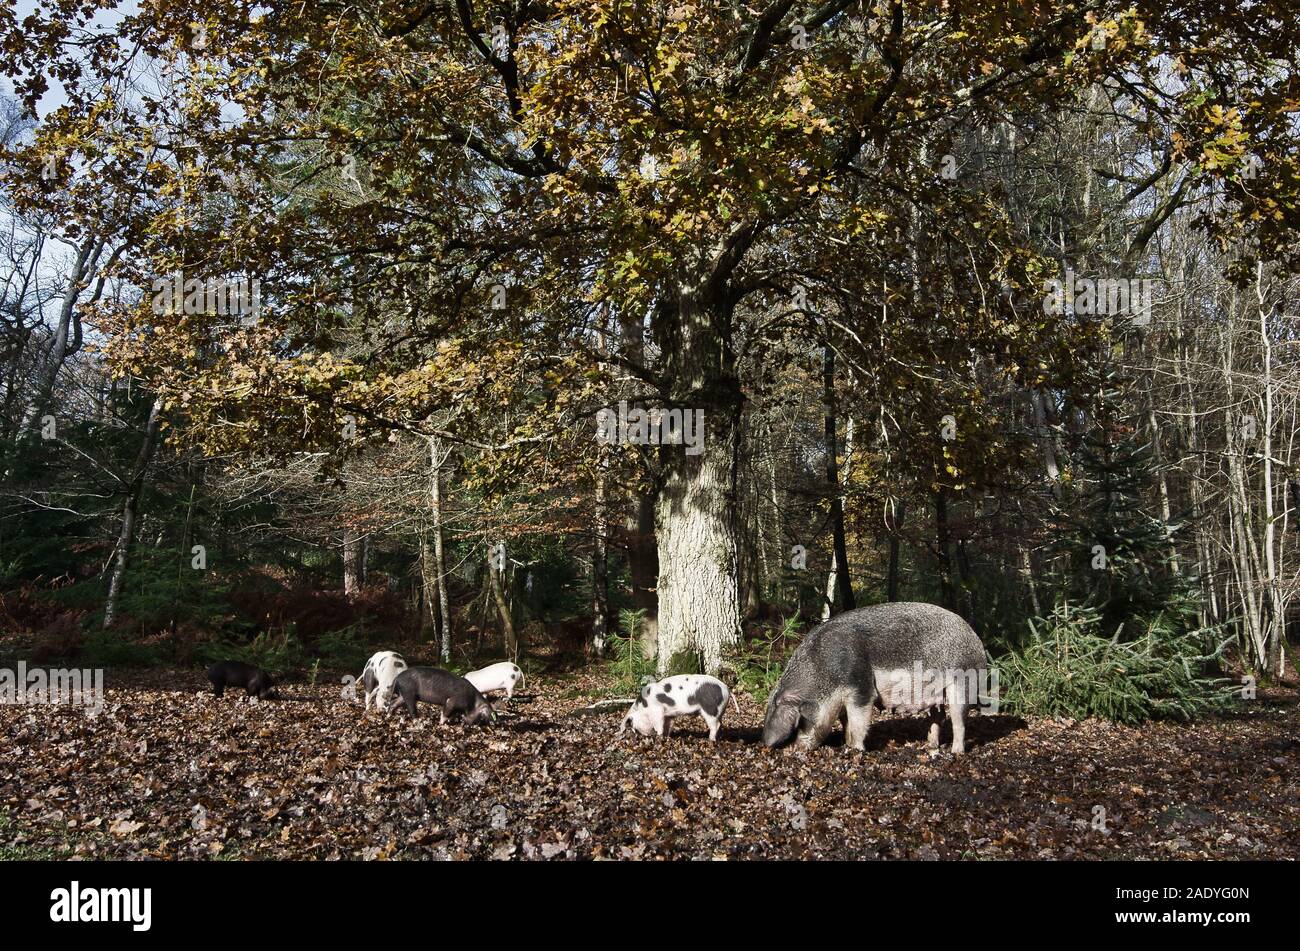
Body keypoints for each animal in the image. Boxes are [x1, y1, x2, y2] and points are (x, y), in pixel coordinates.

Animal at [763, 602, 987, 755]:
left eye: (800, 723)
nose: (795, 749)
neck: (824, 672)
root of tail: (976, 640)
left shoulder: (860, 686)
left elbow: (858, 722)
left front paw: (855, 750)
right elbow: (846, 723)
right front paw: (847, 744)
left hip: (963, 683)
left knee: (959, 720)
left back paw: (955, 752)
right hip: (937, 693)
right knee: (937, 717)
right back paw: (930, 745)